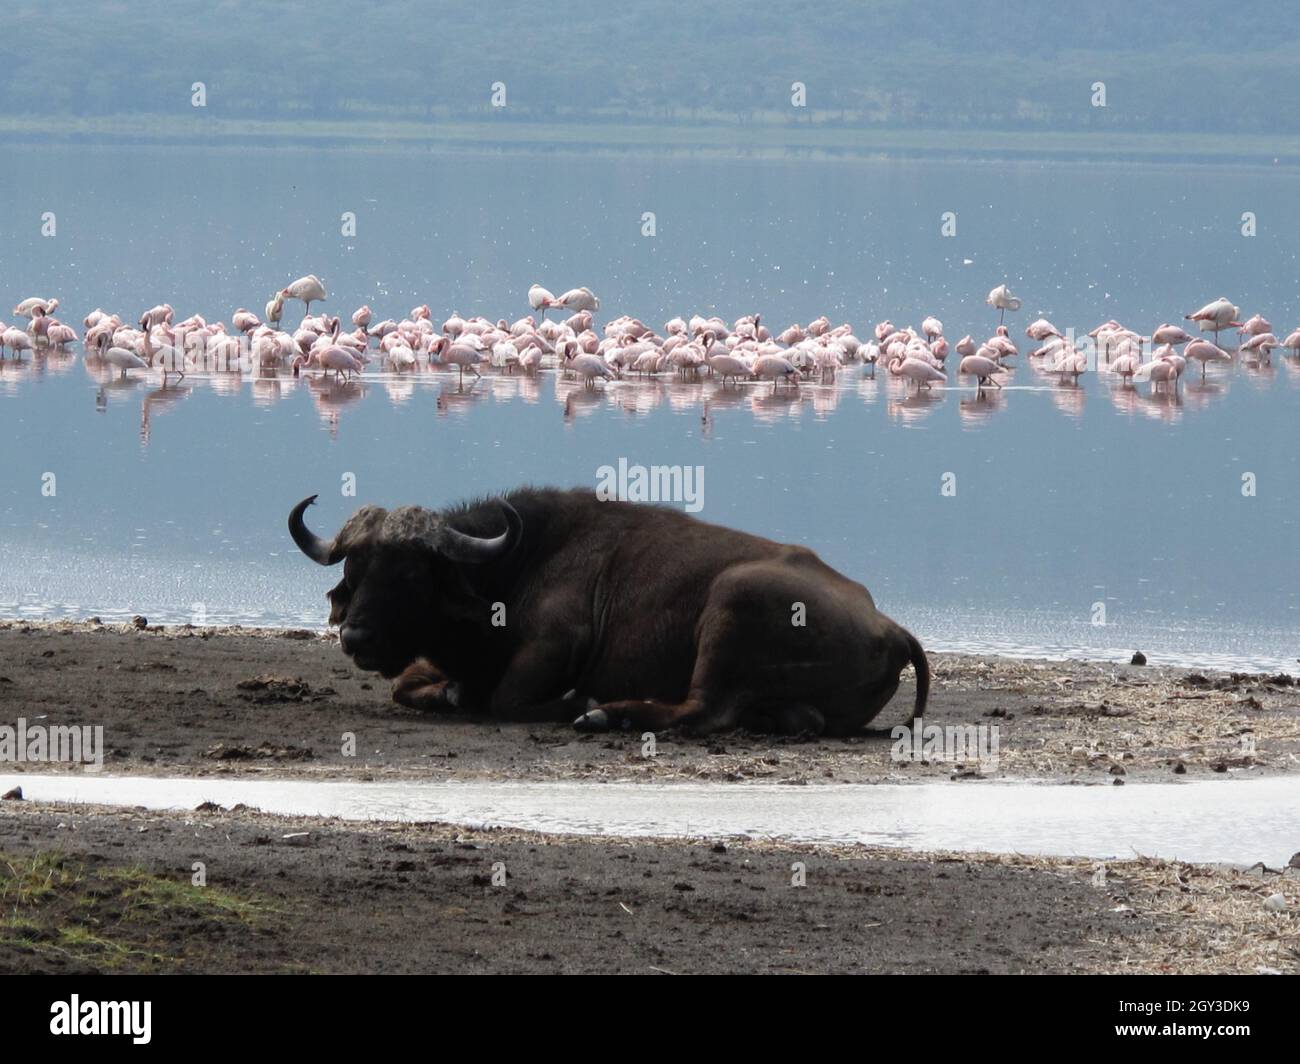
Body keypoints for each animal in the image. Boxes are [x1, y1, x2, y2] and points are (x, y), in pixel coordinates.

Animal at [288, 488, 928, 735]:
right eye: (354, 568)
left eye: (410, 573)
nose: (355, 636)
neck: (522, 560)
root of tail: (891, 626)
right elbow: (413, 686)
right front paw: (448, 692)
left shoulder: (554, 646)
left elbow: (506, 699)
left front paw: (576, 701)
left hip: (731, 604)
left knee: (702, 711)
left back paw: (601, 713)